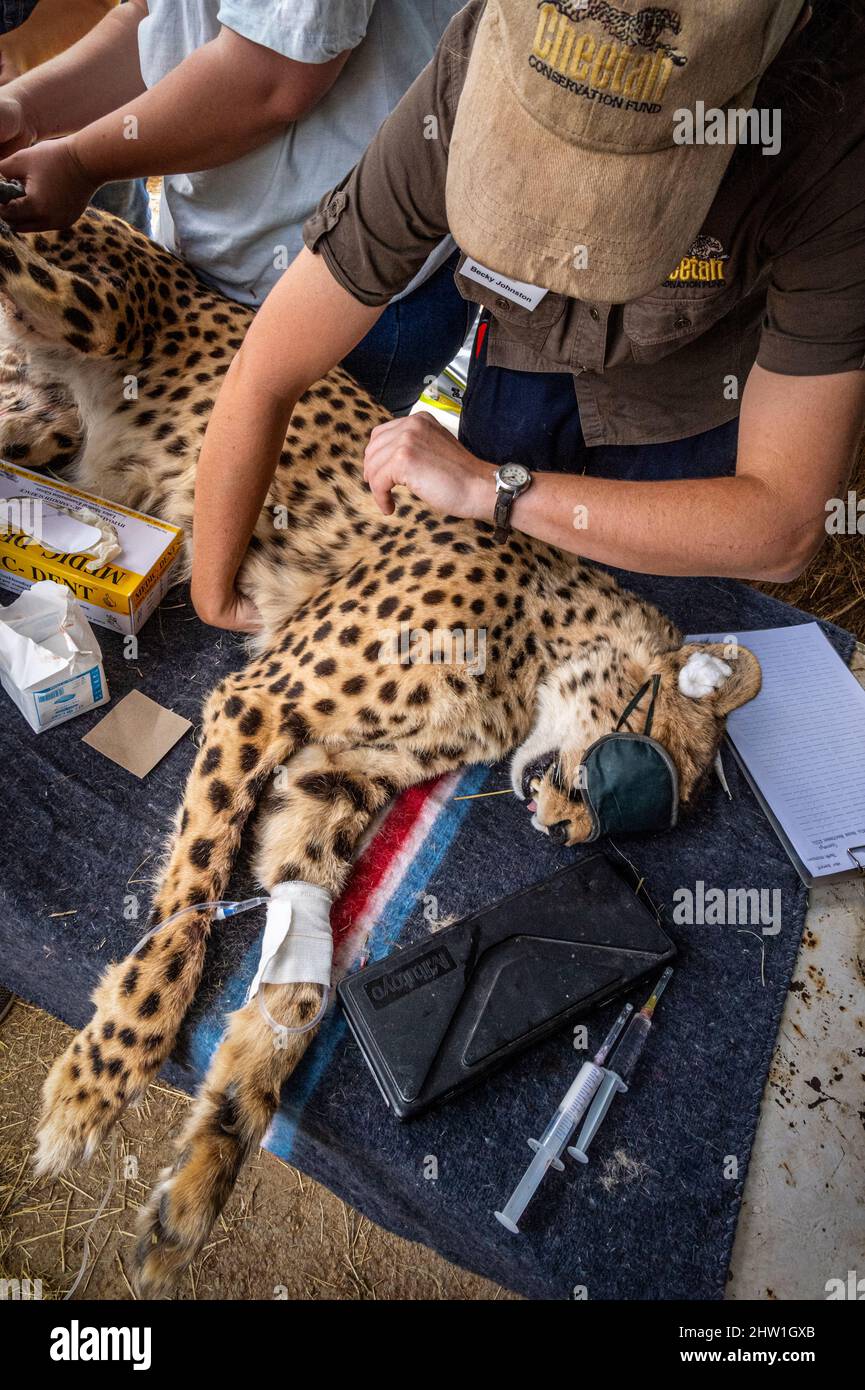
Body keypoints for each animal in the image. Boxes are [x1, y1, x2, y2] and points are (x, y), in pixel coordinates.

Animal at [0, 208, 759, 1295]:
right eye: (642, 760)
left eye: (638, 821)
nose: (567, 832)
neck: (531, 655)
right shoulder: (259, 699)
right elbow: (193, 896)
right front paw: (109, 1069)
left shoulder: (329, 782)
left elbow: (299, 974)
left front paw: (208, 1164)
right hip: (89, 307)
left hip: (42, 424)